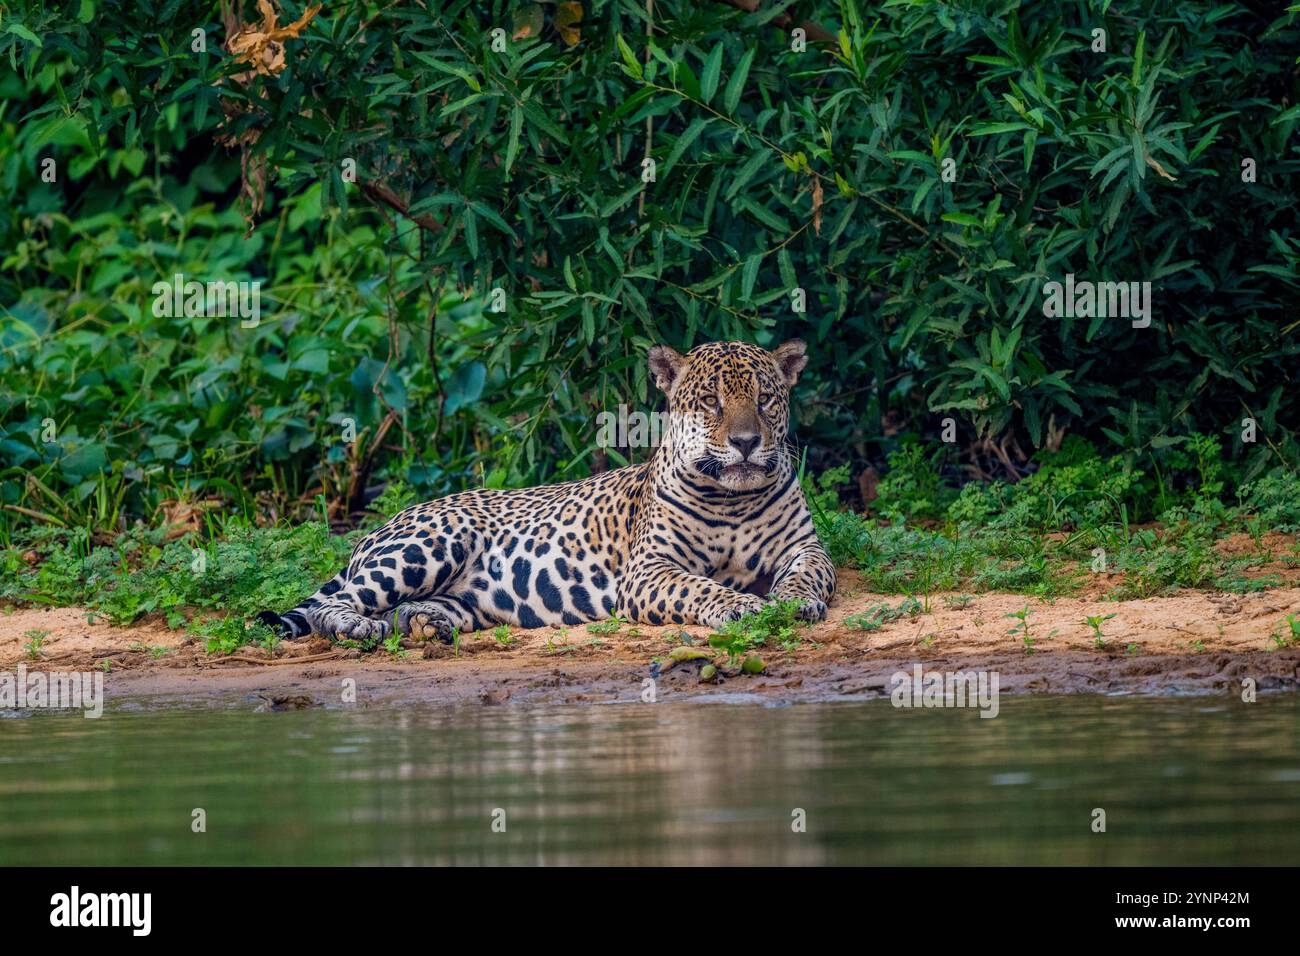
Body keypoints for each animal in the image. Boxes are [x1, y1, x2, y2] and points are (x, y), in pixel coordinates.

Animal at [256, 339, 835, 644]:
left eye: (764, 399)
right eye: (711, 402)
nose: (745, 442)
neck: (732, 499)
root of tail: (381, 526)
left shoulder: (805, 546)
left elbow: (810, 572)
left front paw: (793, 601)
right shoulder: (649, 570)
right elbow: (700, 587)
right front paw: (742, 607)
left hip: (464, 597)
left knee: (409, 609)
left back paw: (425, 624)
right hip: (428, 546)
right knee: (335, 603)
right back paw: (356, 626)